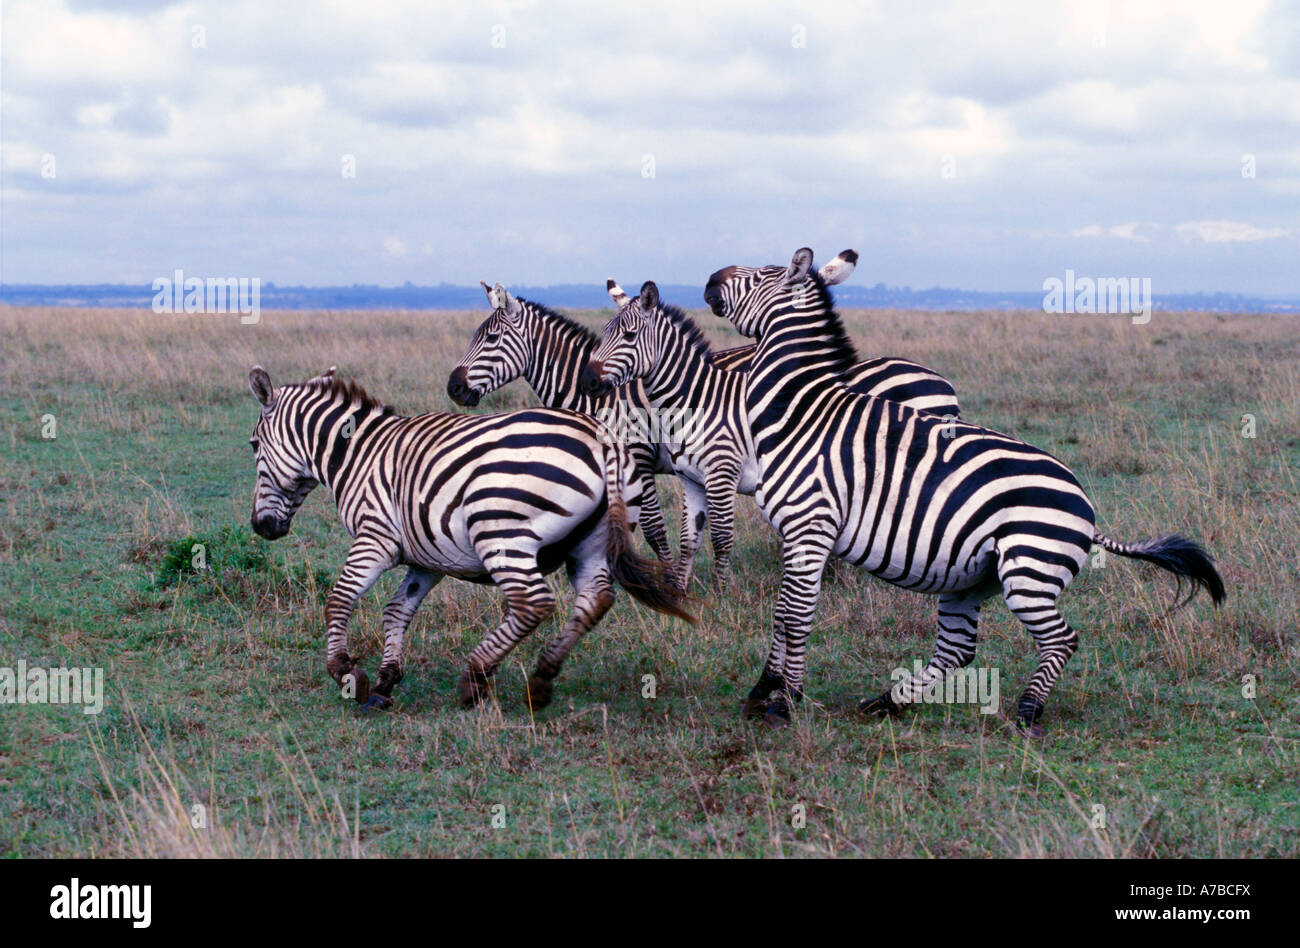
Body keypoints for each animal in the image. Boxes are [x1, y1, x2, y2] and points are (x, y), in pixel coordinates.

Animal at [246, 365, 692, 711]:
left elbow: (339, 599)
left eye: (252, 445)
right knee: (594, 601)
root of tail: (602, 441)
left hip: (501, 531)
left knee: (533, 603)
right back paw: (540, 680)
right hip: (592, 545)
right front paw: (386, 681)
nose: (260, 527)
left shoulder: (375, 537)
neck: (357, 456)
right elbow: (396, 610)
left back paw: (475, 678)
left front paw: (347, 675)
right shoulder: (426, 558)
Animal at [576, 276, 964, 591]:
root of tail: (944, 384)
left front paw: (722, 593)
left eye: (629, 336)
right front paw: (681, 591)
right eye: (604, 332)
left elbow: (720, 536)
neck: (695, 397)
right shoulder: (691, 479)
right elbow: (689, 537)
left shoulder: (721, 471)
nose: (588, 382)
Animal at [702, 247, 1225, 733]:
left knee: (1060, 639)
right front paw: (766, 691)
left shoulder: (809, 525)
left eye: (756, 275)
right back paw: (888, 702)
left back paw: (1027, 713)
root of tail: (1088, 510)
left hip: (1028, 572)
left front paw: (783, 701)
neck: (800, 411)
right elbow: (783, 614)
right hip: (972, 578)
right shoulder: (799, 533)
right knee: (957, 647)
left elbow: (794, 614)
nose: (707, 279)